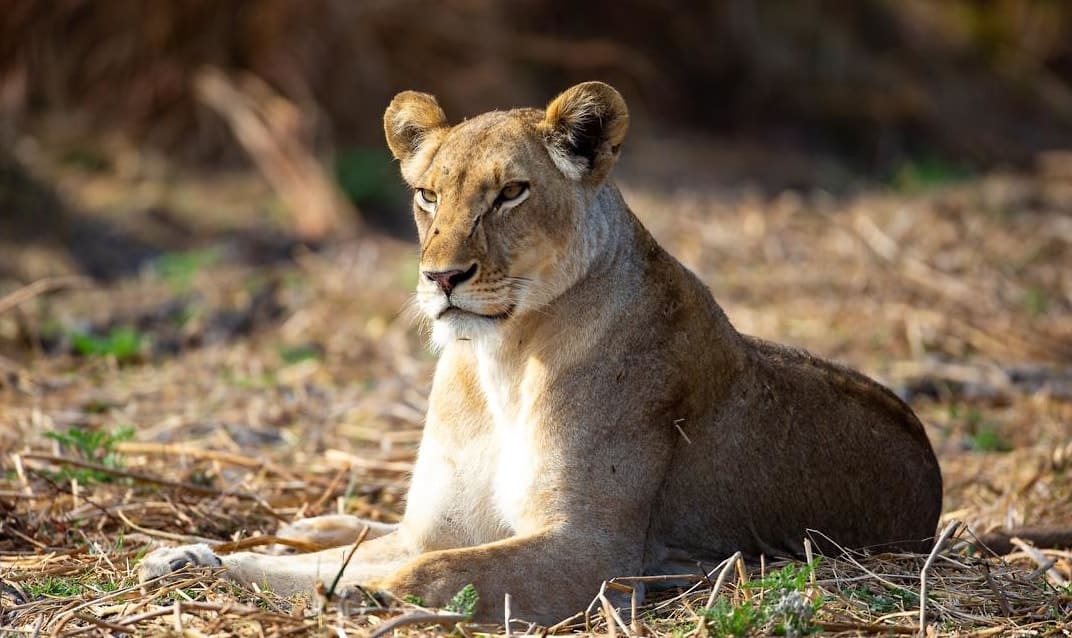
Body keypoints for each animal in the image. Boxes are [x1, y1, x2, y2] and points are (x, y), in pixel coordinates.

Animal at [138, 82, 946, 623]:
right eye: (427, 195)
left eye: (510, 194)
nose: (441, 278)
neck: (503, 358)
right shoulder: (443, 524)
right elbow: (328, 561)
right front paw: (190, 559)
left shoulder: (597, 555)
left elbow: (427, 572)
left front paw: (363, 598)